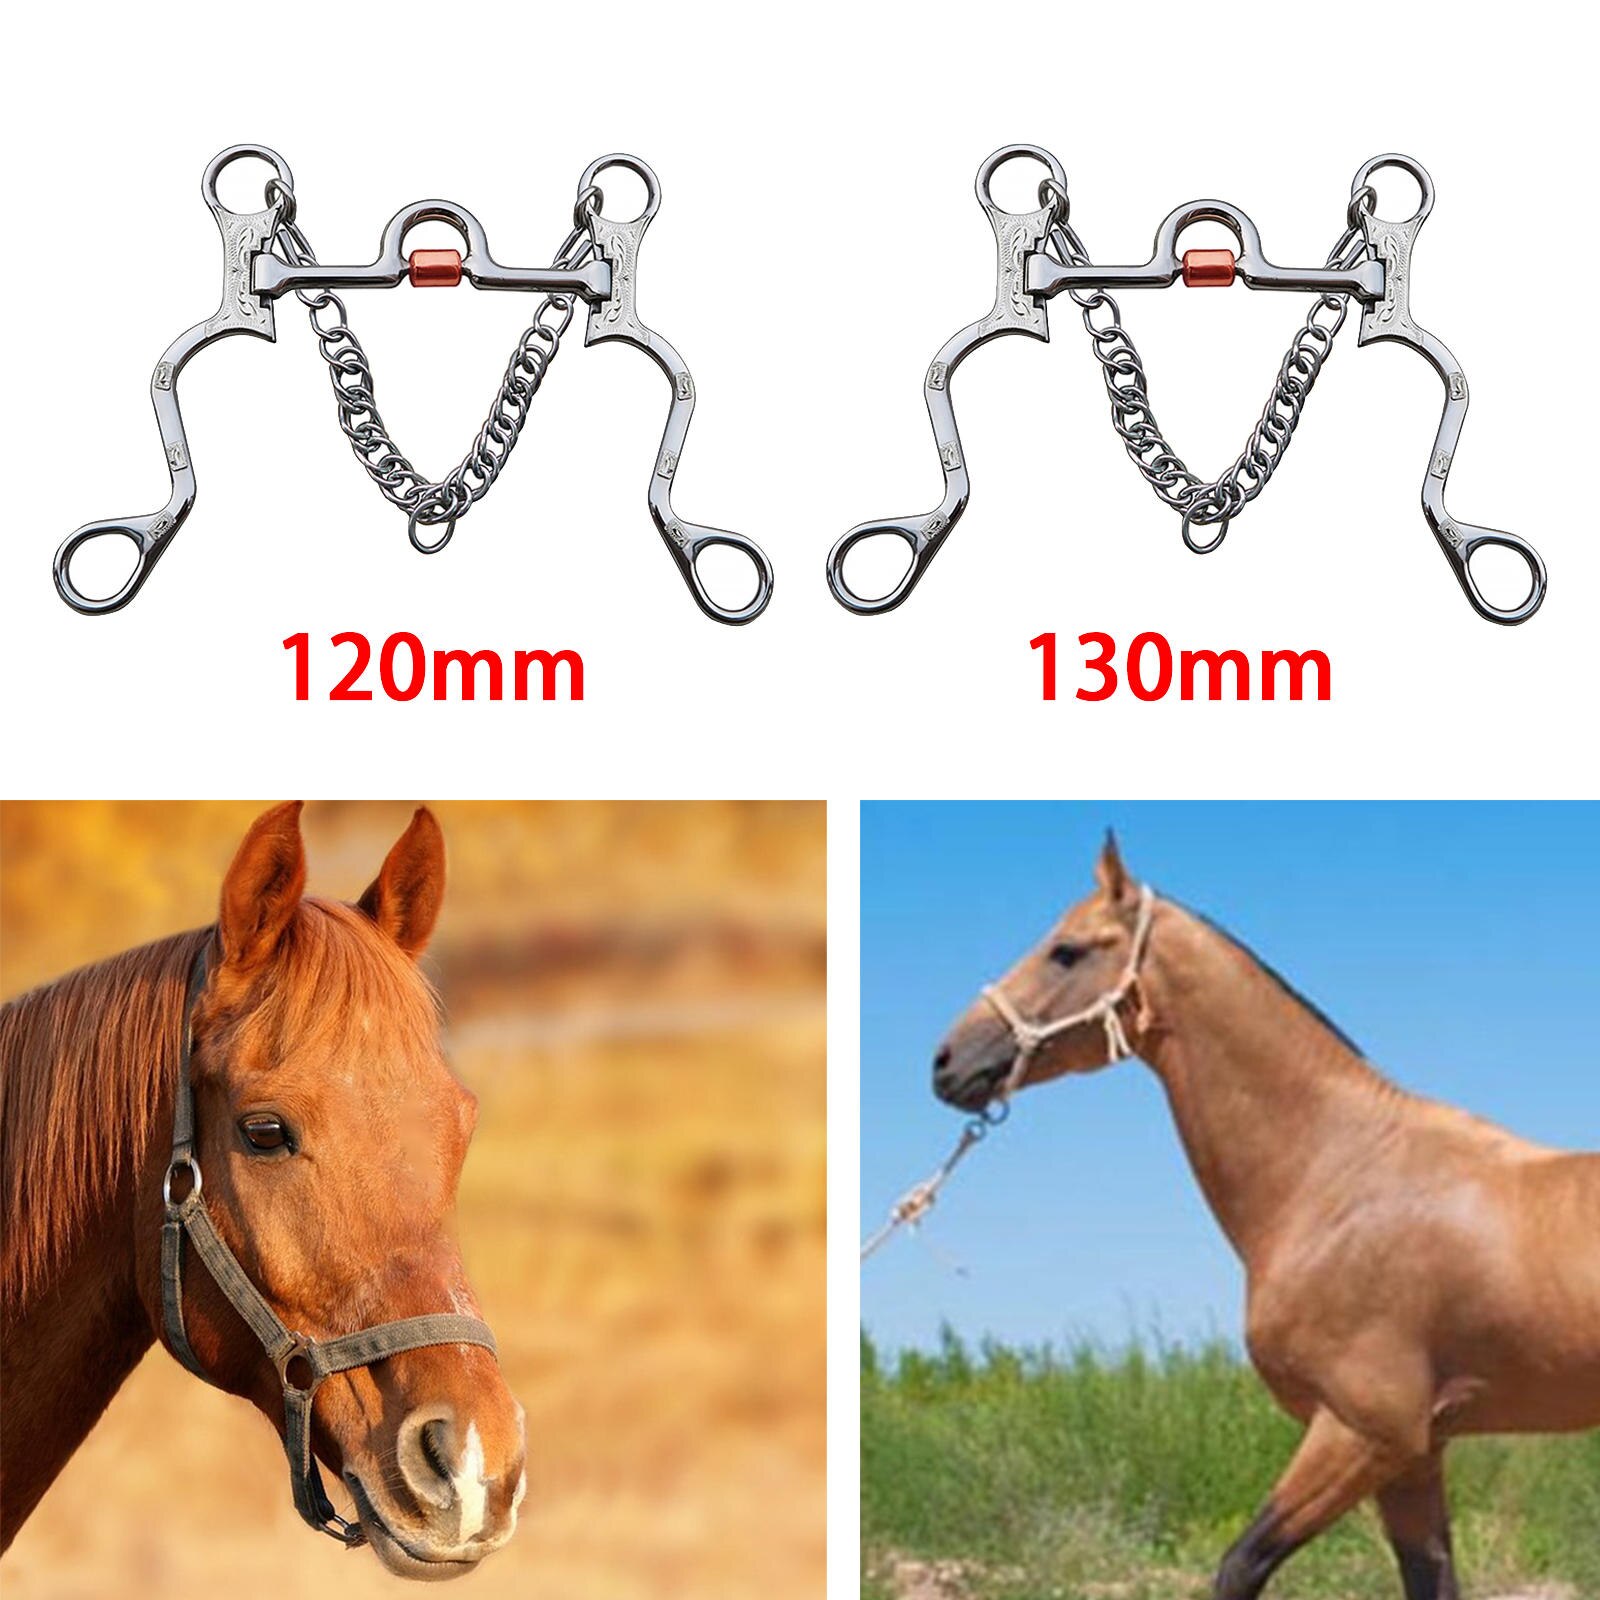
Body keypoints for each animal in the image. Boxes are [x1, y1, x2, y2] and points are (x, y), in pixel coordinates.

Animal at [930, 834, 1600, 1600]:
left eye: (1065, 951)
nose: (946, 1063)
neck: (1337, 1175)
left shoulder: (1364, 1433)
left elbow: (1239, 1566)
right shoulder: (1415, 1454)